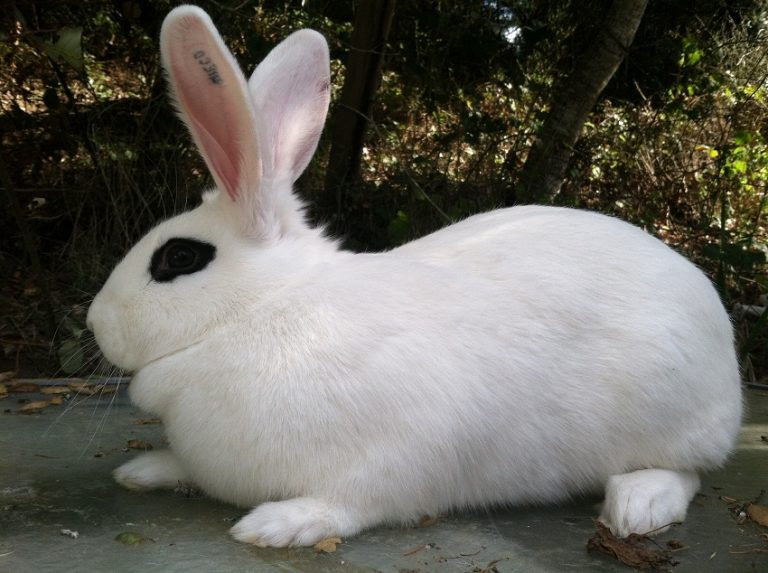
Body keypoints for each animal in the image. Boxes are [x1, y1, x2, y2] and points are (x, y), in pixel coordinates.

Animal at [87, 5, 743, 548]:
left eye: (178, 258)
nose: (94, 323)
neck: (261, 308)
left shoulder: (392, 461)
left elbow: (355, 505)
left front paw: (280, 525)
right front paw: (145, 469)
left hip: (672, 414)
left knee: (688, 470)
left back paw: (637, 504)